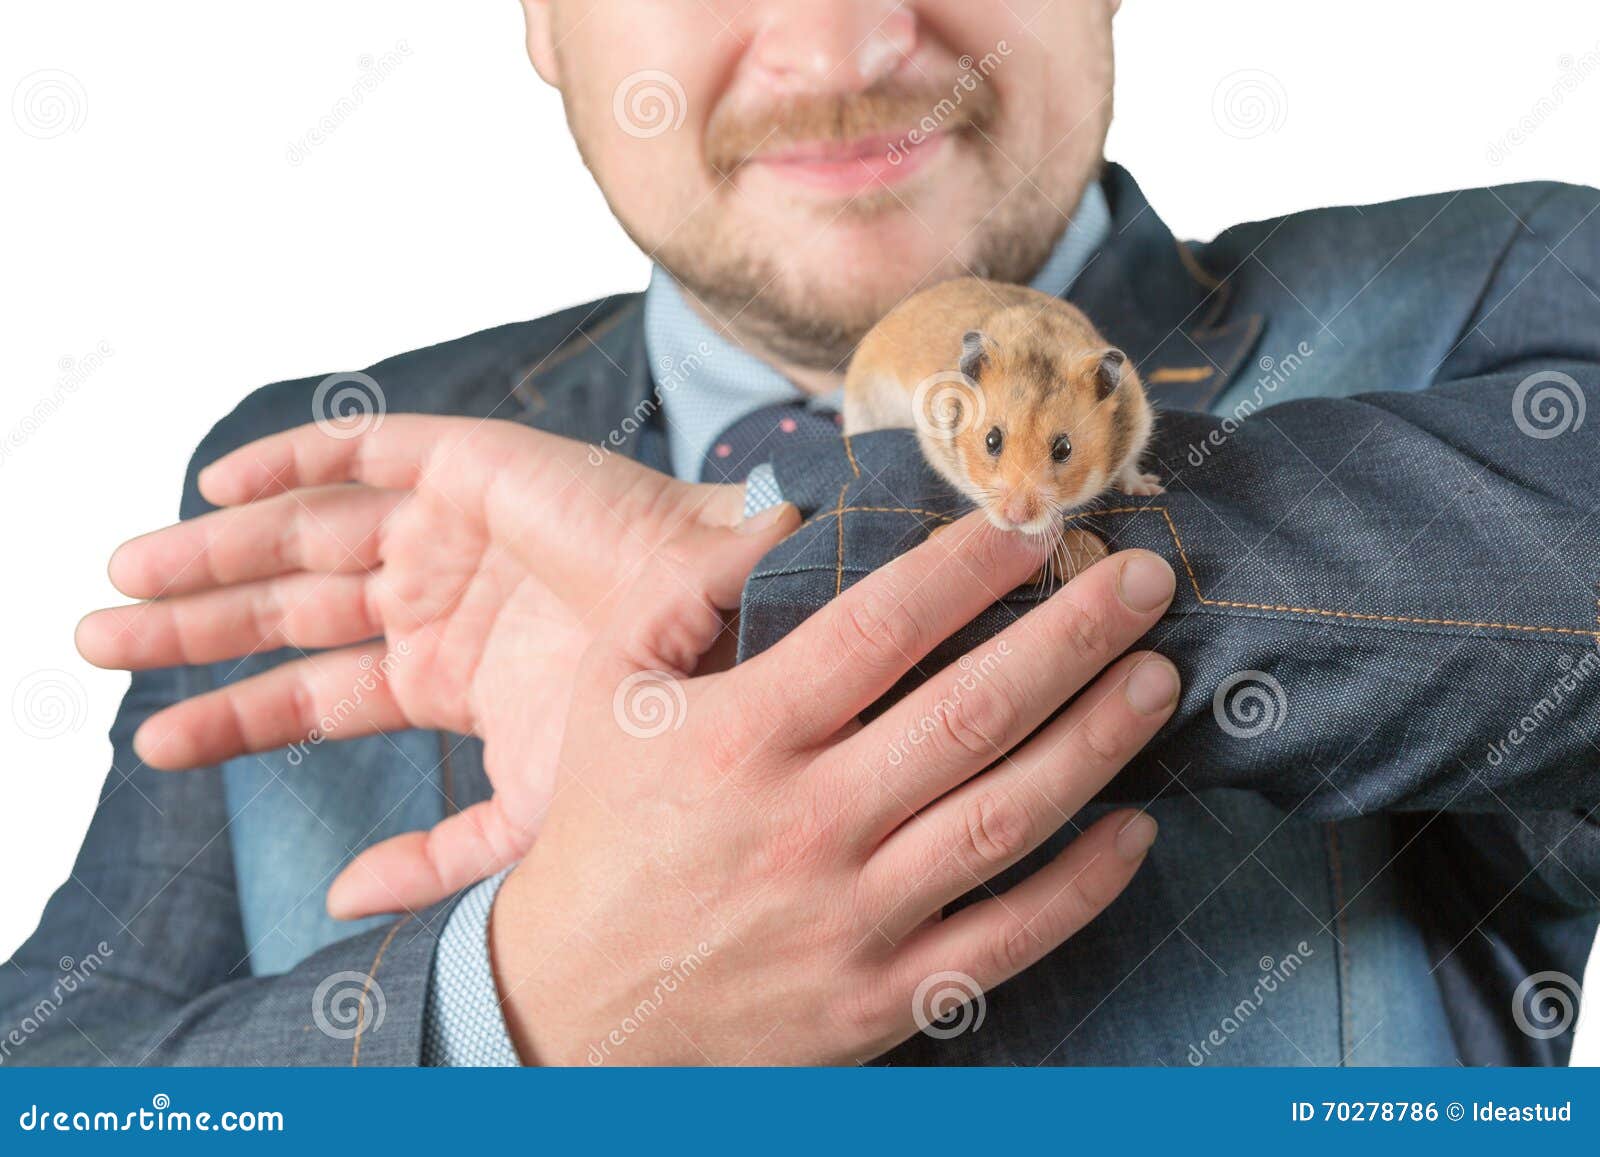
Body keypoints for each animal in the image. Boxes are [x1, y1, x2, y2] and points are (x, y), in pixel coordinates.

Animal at [843, 278, 1163, 581]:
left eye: (1064, 449)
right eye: (991, 440)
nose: (1015, 518)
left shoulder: (1139, 421)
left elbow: (1129, 466)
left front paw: (1149, 488)